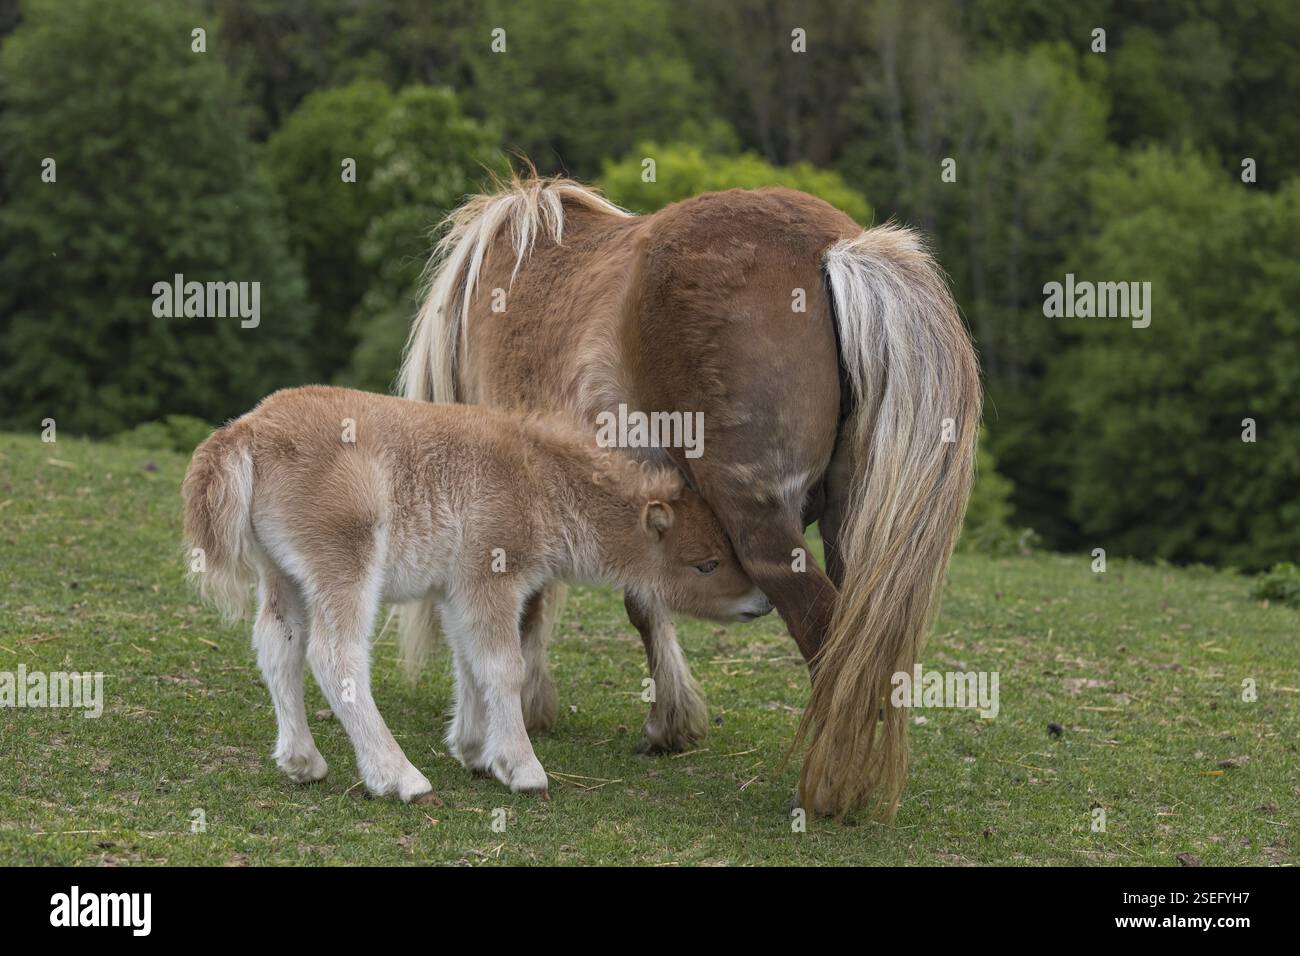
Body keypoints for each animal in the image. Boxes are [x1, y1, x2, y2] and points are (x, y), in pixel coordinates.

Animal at [398, 174, 981, 817]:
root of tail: (836, 247)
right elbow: (643, 597)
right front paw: (666, 722)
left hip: (764, 527)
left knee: (826, 634)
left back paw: (827, 787)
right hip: (849, 522)